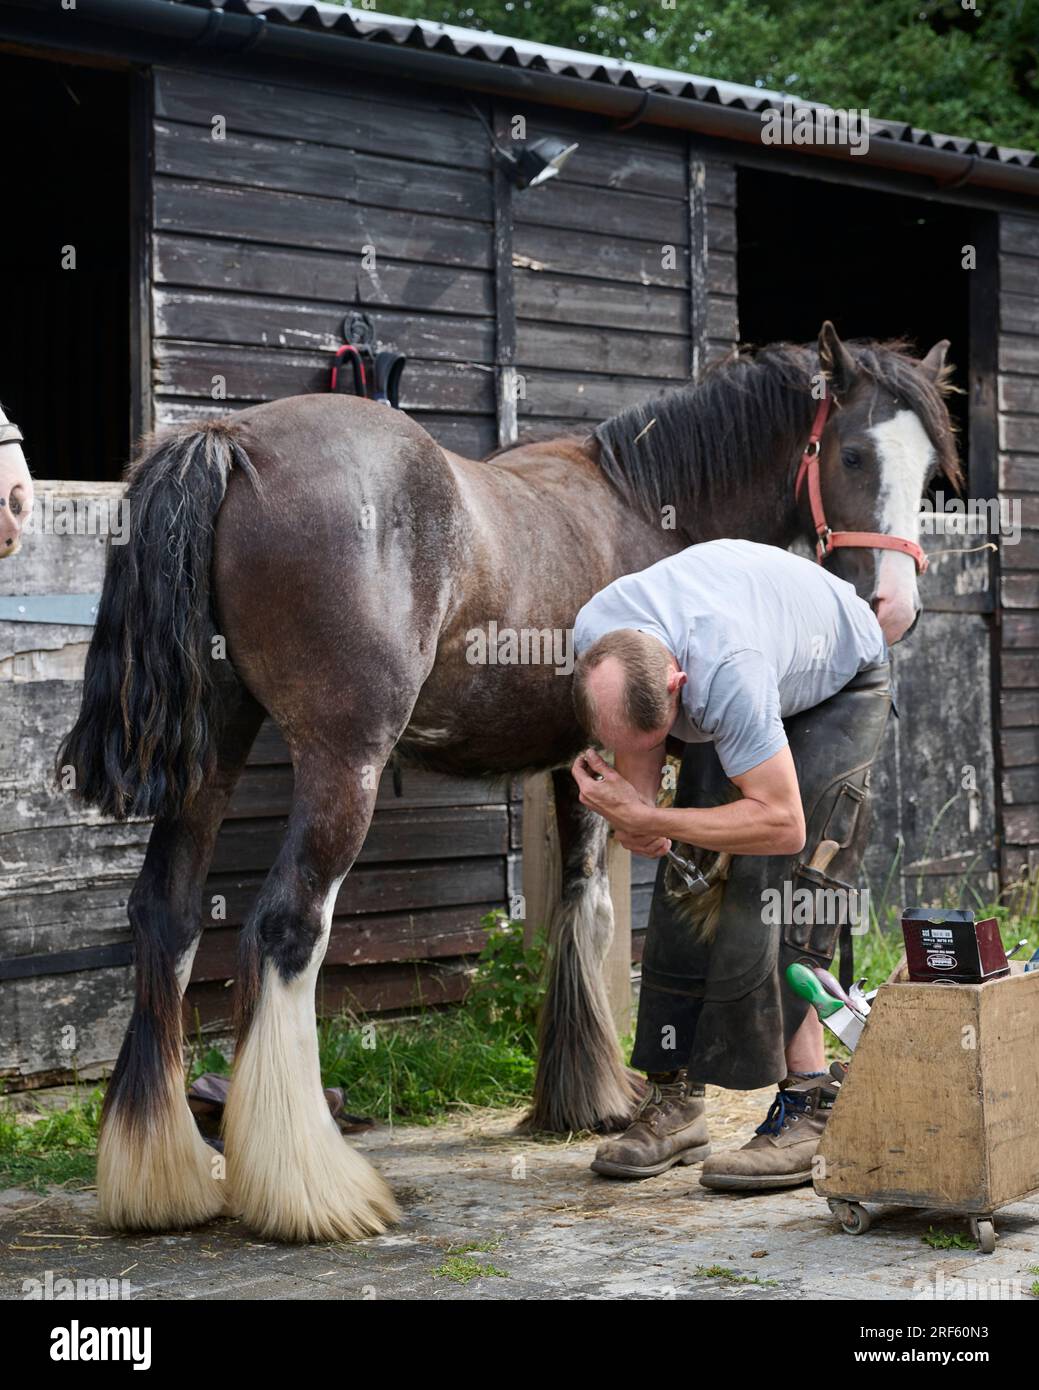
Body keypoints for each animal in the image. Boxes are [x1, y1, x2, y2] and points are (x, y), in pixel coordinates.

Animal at [59, 322, 958, 1242]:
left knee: (166, 915)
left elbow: (581, 907)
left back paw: (162, 1177)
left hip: (216, 748)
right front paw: (600, 1098)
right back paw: (313, 1189)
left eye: (930, 472)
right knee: (284, 929)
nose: (892, 607)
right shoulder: (615, 756)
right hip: (343, 761)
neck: (644, 503)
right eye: (852, 453)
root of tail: (230, 439)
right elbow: (595, 907)